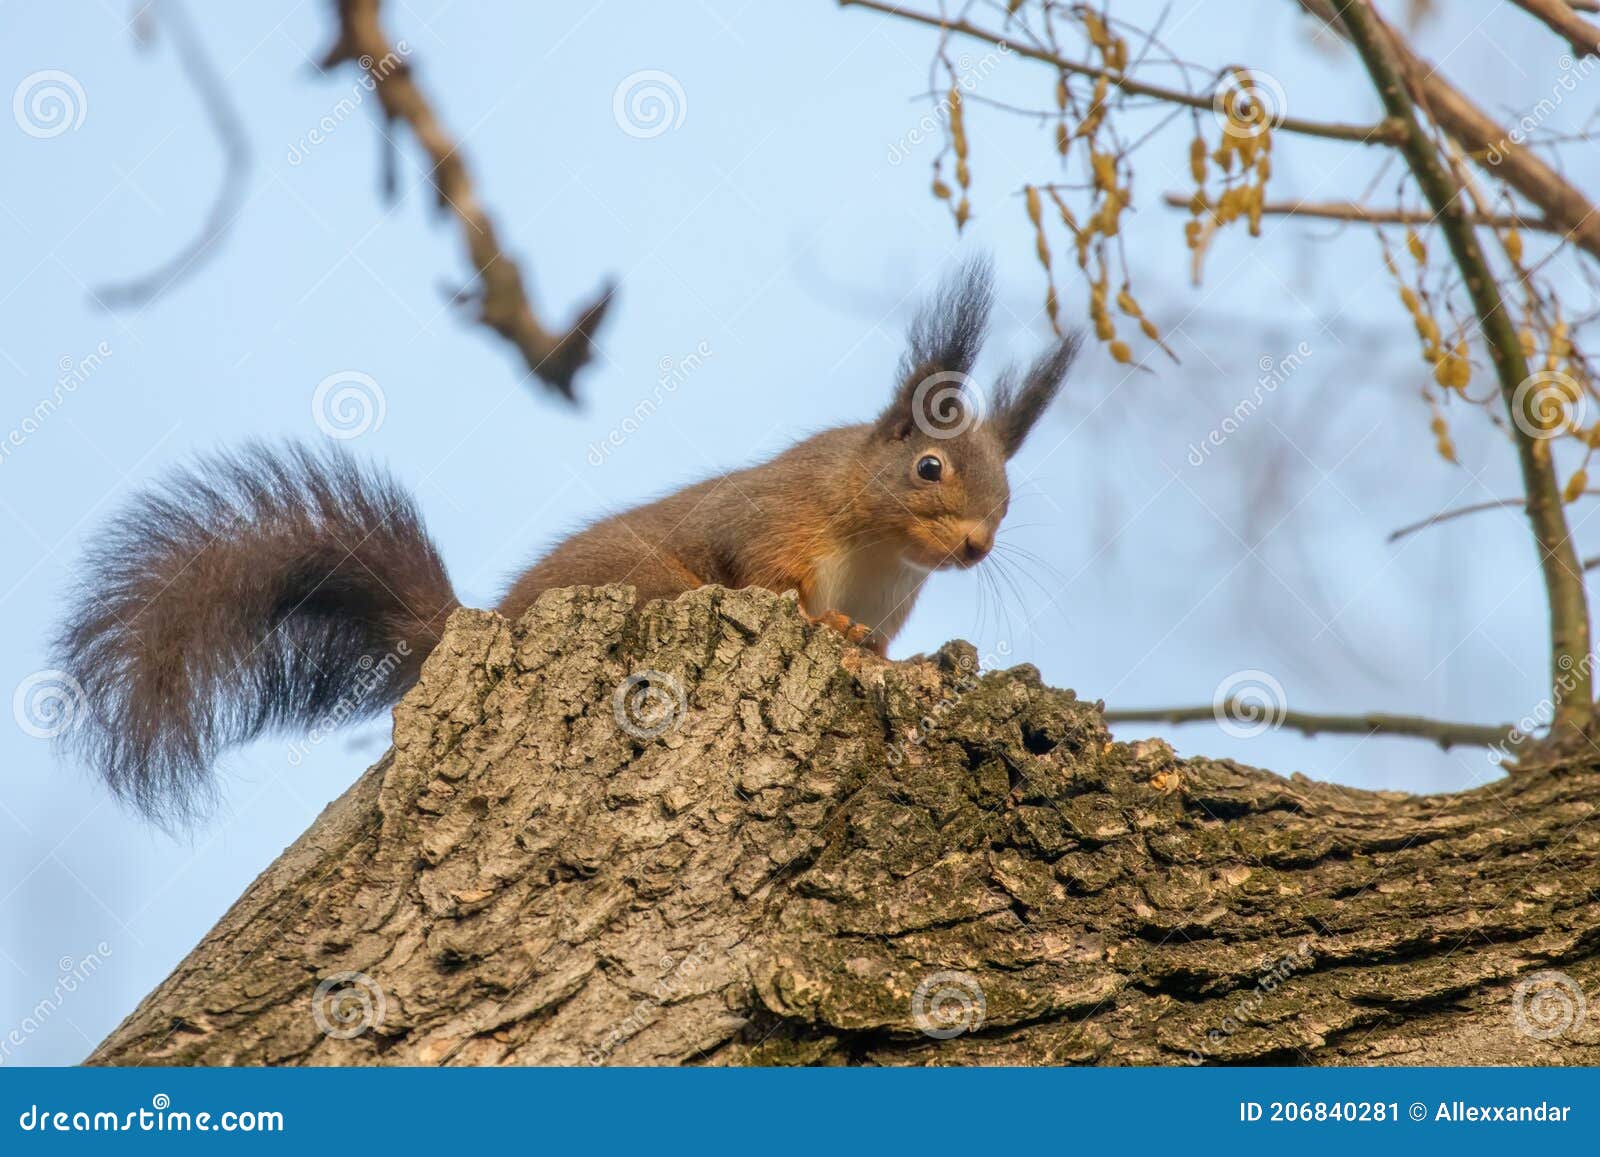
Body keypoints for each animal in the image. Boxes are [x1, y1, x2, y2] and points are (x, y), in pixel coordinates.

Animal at [54, 259, 1078, 822]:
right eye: (930, 469)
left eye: (1009, 496)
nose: (977, 546)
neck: (876, 552)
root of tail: (481, 622)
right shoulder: (772, 517)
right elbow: (767, 580)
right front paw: (825, 628)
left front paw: (882, 653)